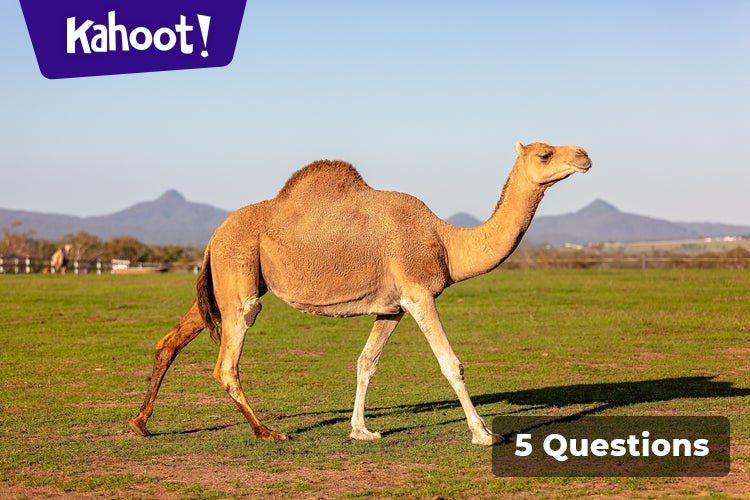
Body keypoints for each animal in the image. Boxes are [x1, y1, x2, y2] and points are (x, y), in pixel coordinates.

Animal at [129, 141, 592, 445]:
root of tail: (212, 236)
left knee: (170, 340)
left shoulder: (393, 308)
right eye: (545, 154)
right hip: (239, 277)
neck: (446, 242)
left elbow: (365, 363)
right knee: (228, 359)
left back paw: (140, 423)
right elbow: (451, 364)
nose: (584, 155)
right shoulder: (419, 293)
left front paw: (361, 430)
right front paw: (483, 434)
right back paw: (268, 432)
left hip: (224, 281)